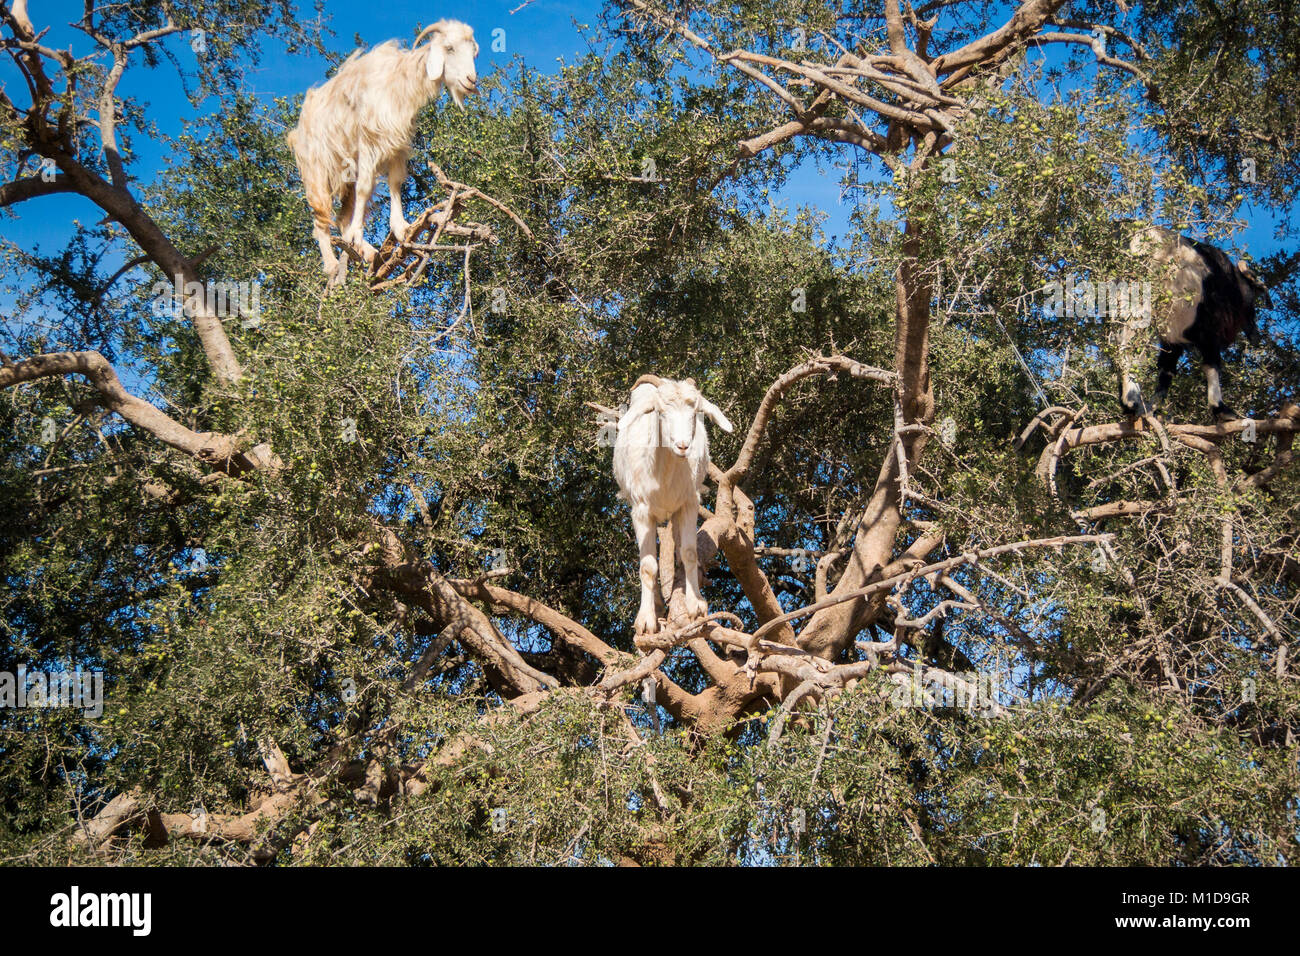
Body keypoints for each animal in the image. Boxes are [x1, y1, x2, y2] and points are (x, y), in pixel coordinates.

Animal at [287, 20, 479, 284]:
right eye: (449, 48)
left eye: (473, 52)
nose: (471, 80)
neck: (399, 80)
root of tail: (298, 131)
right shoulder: (369, 140)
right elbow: (365, 187)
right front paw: (358, 235)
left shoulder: (397, 143)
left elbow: (396, 181)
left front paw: (401, 228)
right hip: (316, 169)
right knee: (320, 218)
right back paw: (332, 265)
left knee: (341, 217)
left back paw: (366, 252)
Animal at [613, 375, 733, 635]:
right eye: (660, 412)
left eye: (695, 412)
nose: (683, 445)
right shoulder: (641, 511)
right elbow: (647, 566)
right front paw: (646, 620)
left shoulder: (688, 504)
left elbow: (689, 552)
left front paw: (695, 604)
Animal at [1119, 225, 1269, 420]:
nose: (1256, 336)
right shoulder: (1205, 330)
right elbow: (1211, 365)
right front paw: (1219, 408)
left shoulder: (1172, 340)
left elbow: (1166, 371)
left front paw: (1152, 408)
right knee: (1131, 349)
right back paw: (1131, 399)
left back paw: (1131, 402)